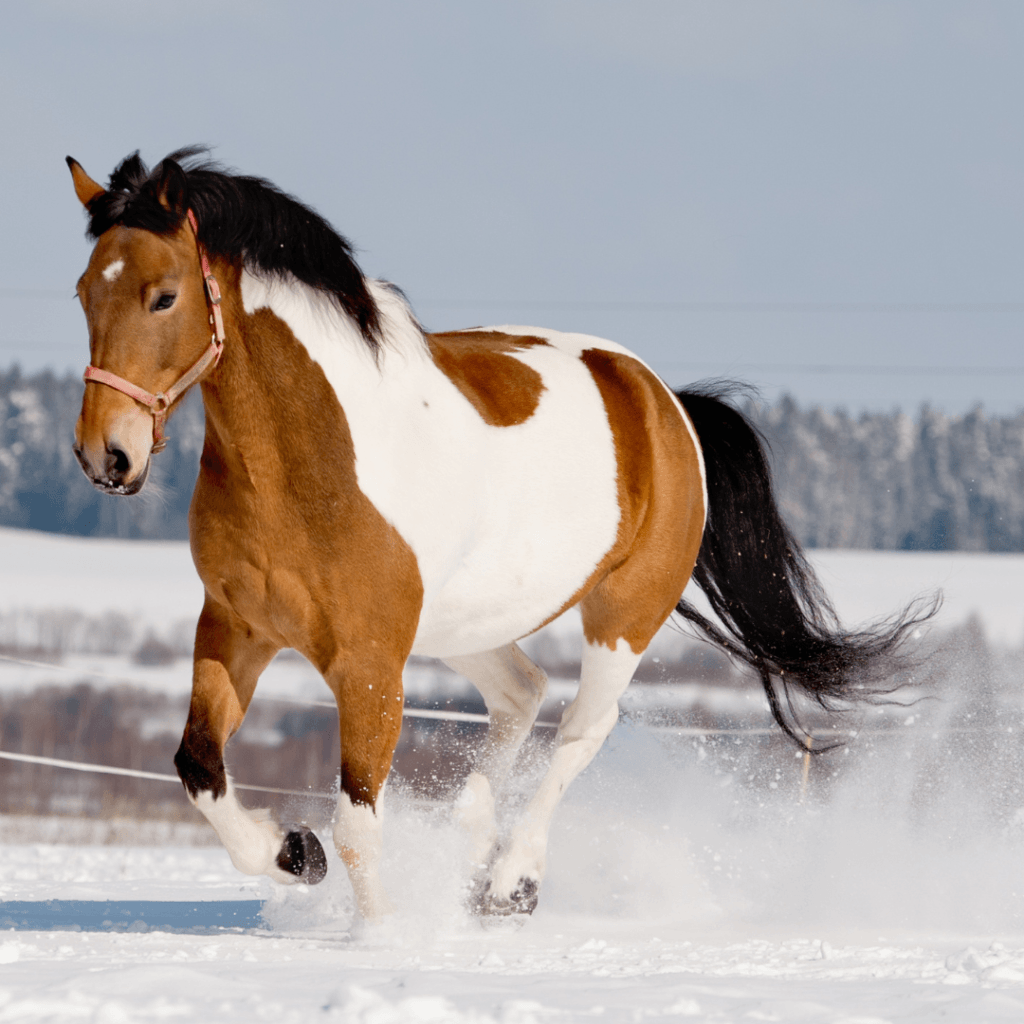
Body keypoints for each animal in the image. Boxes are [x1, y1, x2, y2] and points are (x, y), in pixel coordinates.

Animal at [67, 147, 927, 919]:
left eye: (163, 297)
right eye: (83, 293)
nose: (106, 455)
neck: (309, 462)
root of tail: (663, 400)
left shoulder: (369, 662)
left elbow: (358, 825)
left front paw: (379, 937)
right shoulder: (235, 626)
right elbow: (199, 769)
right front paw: (291, 851)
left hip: (623, 616)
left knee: (580, 728)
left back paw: (511, 878)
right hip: (463, 624)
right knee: (522, 693)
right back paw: (475, 840)